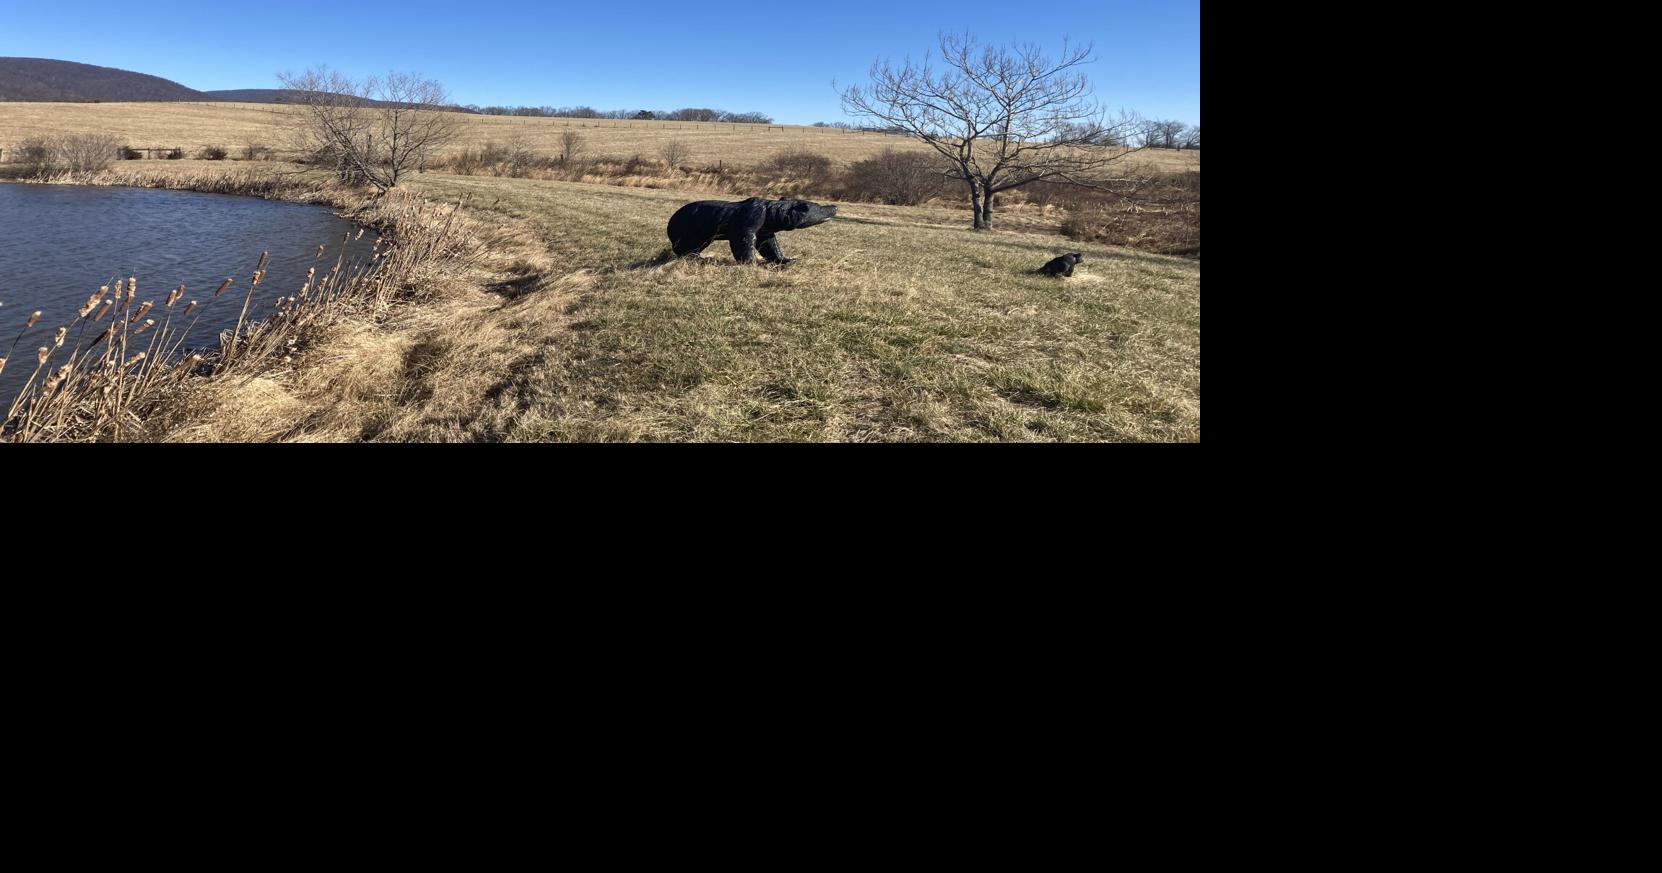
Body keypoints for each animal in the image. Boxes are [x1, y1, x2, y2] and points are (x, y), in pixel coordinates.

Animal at [667, 197, 838, 265]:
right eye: (818, 206)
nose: (834, 207)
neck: (770, 214)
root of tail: (669, 222)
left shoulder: (765, 230)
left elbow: (769, 245)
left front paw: (786, 259)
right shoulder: (750, 219)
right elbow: (743, 240)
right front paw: (752, 262)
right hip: (690, 231)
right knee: (685, 247)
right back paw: (695, 258)